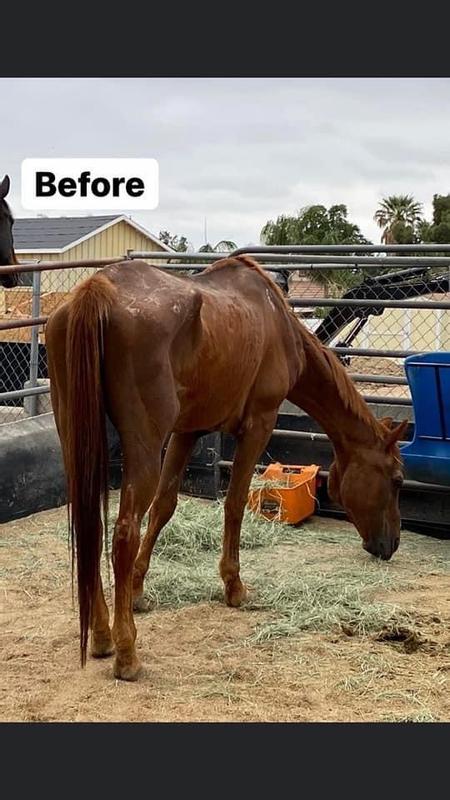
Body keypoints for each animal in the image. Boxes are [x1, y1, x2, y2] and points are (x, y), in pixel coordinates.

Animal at [45, 255, 408, 681]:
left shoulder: (188, 431)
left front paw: (136, 590)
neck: (277, 321)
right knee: (122, 533)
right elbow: (234, 504)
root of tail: (97, 289)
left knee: (92, 527)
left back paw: (102, 634)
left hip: (78, 441)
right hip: (144, 445)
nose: (391, 544)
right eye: (397, 481)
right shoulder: (259, 425)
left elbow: (165, 507)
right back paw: (126, 652)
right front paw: (234, 587)